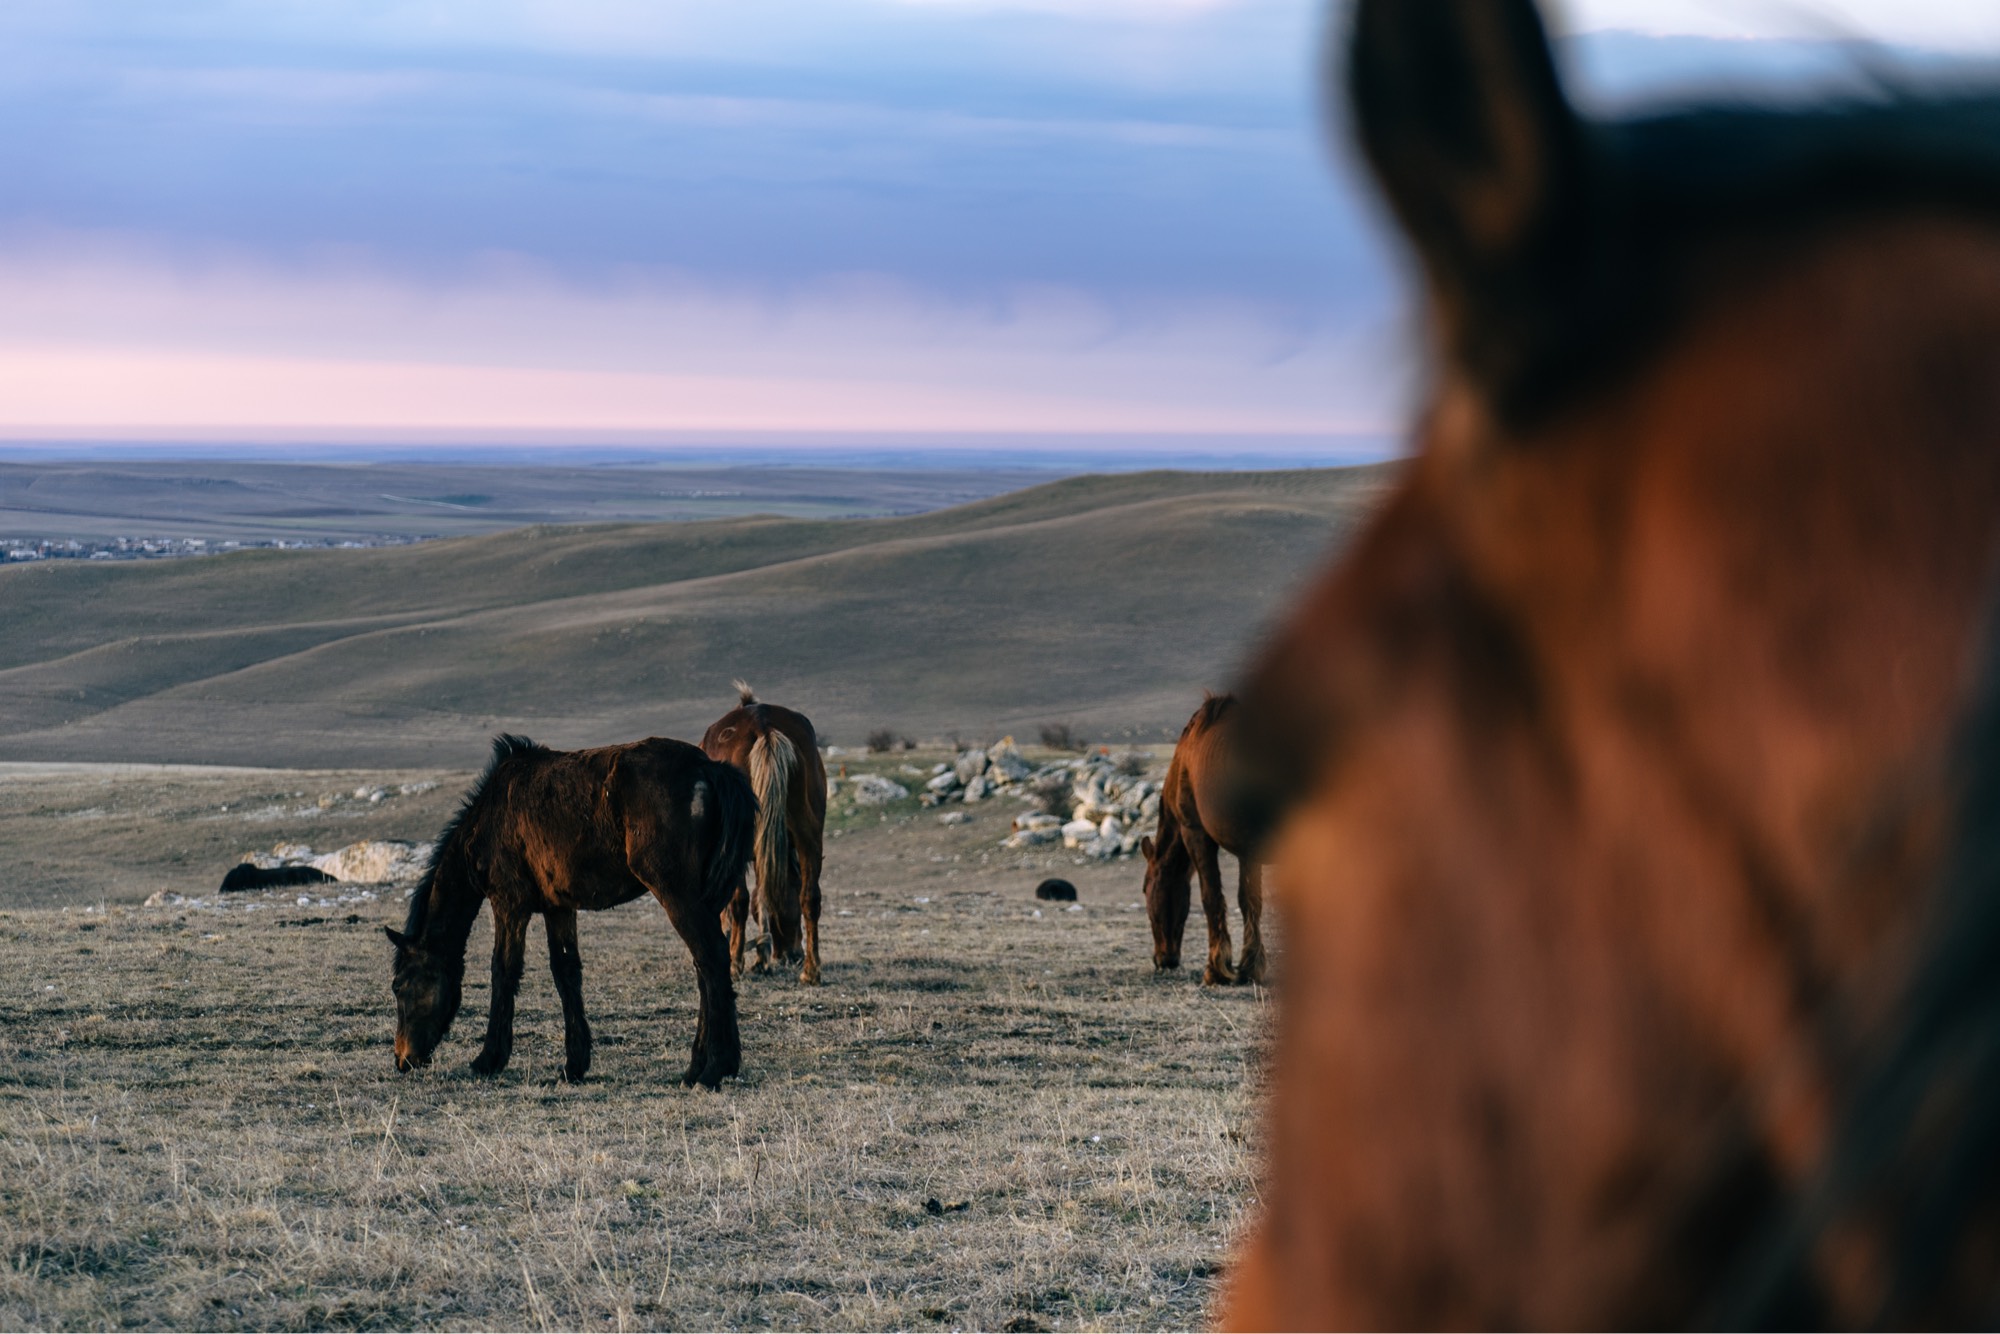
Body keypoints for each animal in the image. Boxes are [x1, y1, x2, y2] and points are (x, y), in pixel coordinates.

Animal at [386, 736, 752, 1088]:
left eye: (399, 986)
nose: (402, 1059)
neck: (489, 818)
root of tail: (708, 767)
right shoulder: (558, 907)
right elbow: (566, 973)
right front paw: (574, 1065)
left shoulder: (509, 903)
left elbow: (503, 970)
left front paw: (489, 1059)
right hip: (707, 898)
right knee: (705, 969)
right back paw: (699, 1068)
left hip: (676, 893)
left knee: (711, 958)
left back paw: (712, 1070)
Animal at [704, 684, 828, 988]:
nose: (792, 954)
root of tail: (764, 726)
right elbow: (764, 898)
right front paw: (762, 957)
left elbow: (744, 900)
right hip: (809, 834)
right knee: (811, 897)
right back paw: (811, 971)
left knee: (739, 900)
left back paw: (734, 964)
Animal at [1144, 696, 1264, 988]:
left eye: (1145, 888)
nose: (1162, 959)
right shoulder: (1247, 849)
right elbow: (1249, 900)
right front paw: (1250, 967)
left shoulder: (1195, 832)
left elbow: (1212, 897)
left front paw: (1216, 969)